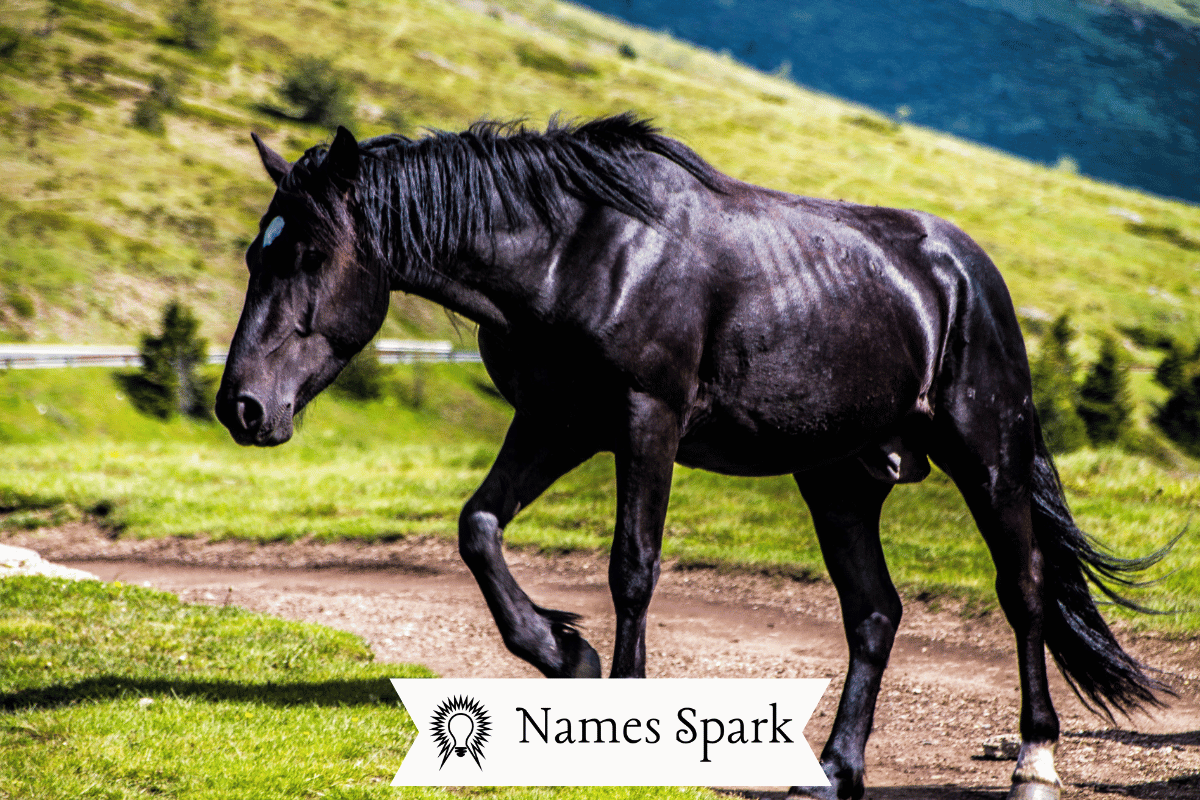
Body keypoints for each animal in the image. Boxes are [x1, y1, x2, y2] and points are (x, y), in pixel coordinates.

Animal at [215, 114, 1170, 800]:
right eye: (258, 253)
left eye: (307, 254)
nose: (242, 407)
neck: (576, 253)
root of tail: (967, 273)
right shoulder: (557, 422)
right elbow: (478, 525)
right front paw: (562, 654)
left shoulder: (649, 420)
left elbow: (632, 566)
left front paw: (620, 709)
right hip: (840, 479)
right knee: (875, 614)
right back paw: (832, 770)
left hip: (988, 454)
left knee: (1025, 590)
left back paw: (1034, 764)